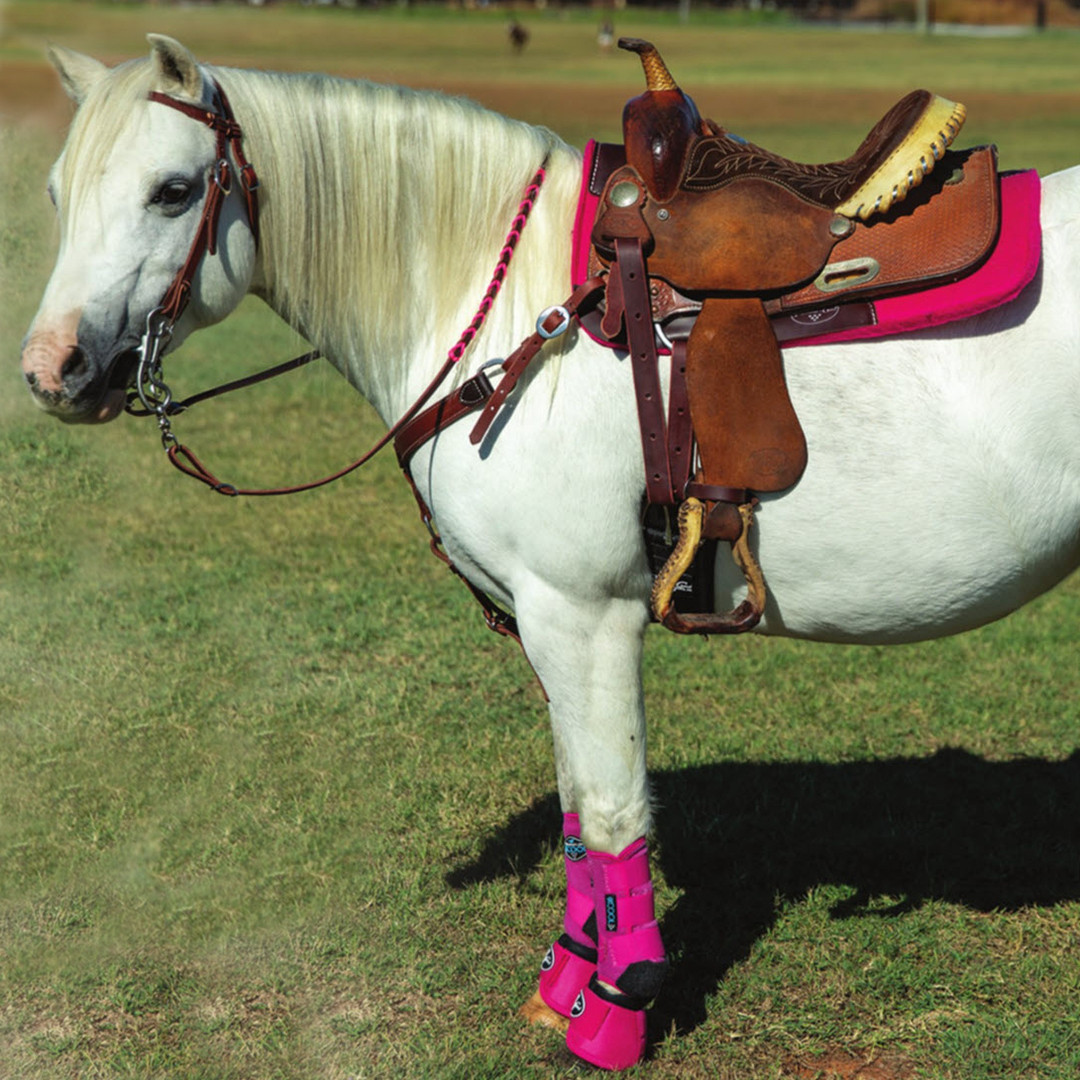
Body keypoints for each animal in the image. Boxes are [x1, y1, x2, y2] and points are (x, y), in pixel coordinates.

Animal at [20, 35, 1080, 1070]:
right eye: (56, 193)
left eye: (173, 190)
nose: (48, 370)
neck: (500, 308)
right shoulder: (544, 619)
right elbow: (577, 809)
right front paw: (566, 978)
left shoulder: (583, 614)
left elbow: (611, 814)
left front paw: (617, 1006)